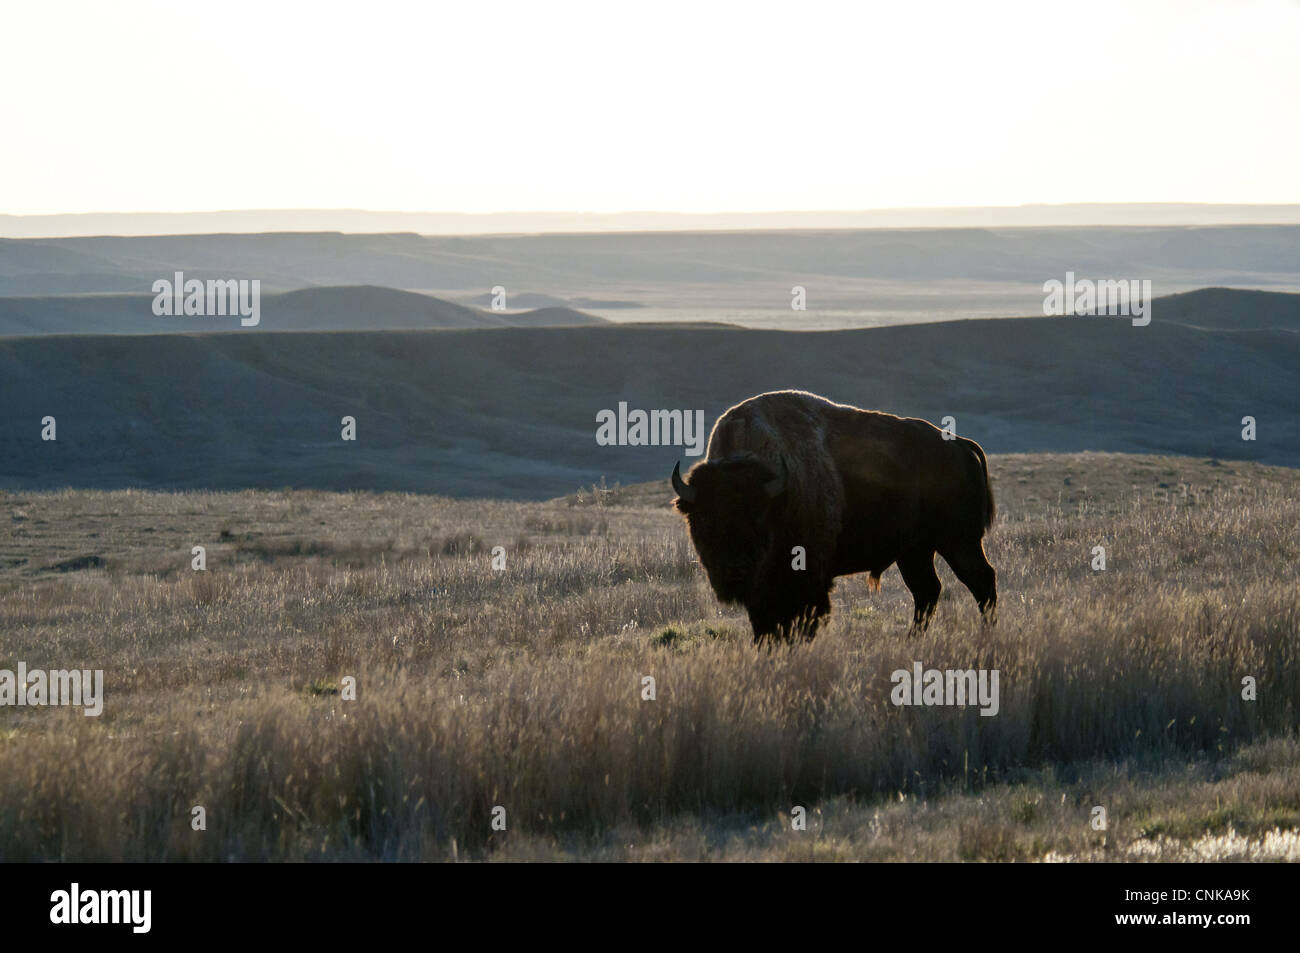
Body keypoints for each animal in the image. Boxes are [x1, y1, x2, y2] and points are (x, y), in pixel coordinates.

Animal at [671, 390, 996, 642]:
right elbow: (766, 627)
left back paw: (986, 633)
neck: (778, 496)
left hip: (959, 542)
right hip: (915, 551)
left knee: (981, 581)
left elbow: (800, 623)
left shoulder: (806, 582)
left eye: (758, 518)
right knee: (927, 591)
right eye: (705, 519)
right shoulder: (763, 593)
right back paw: (912, 640)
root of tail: (961, 444)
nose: (735, 571)